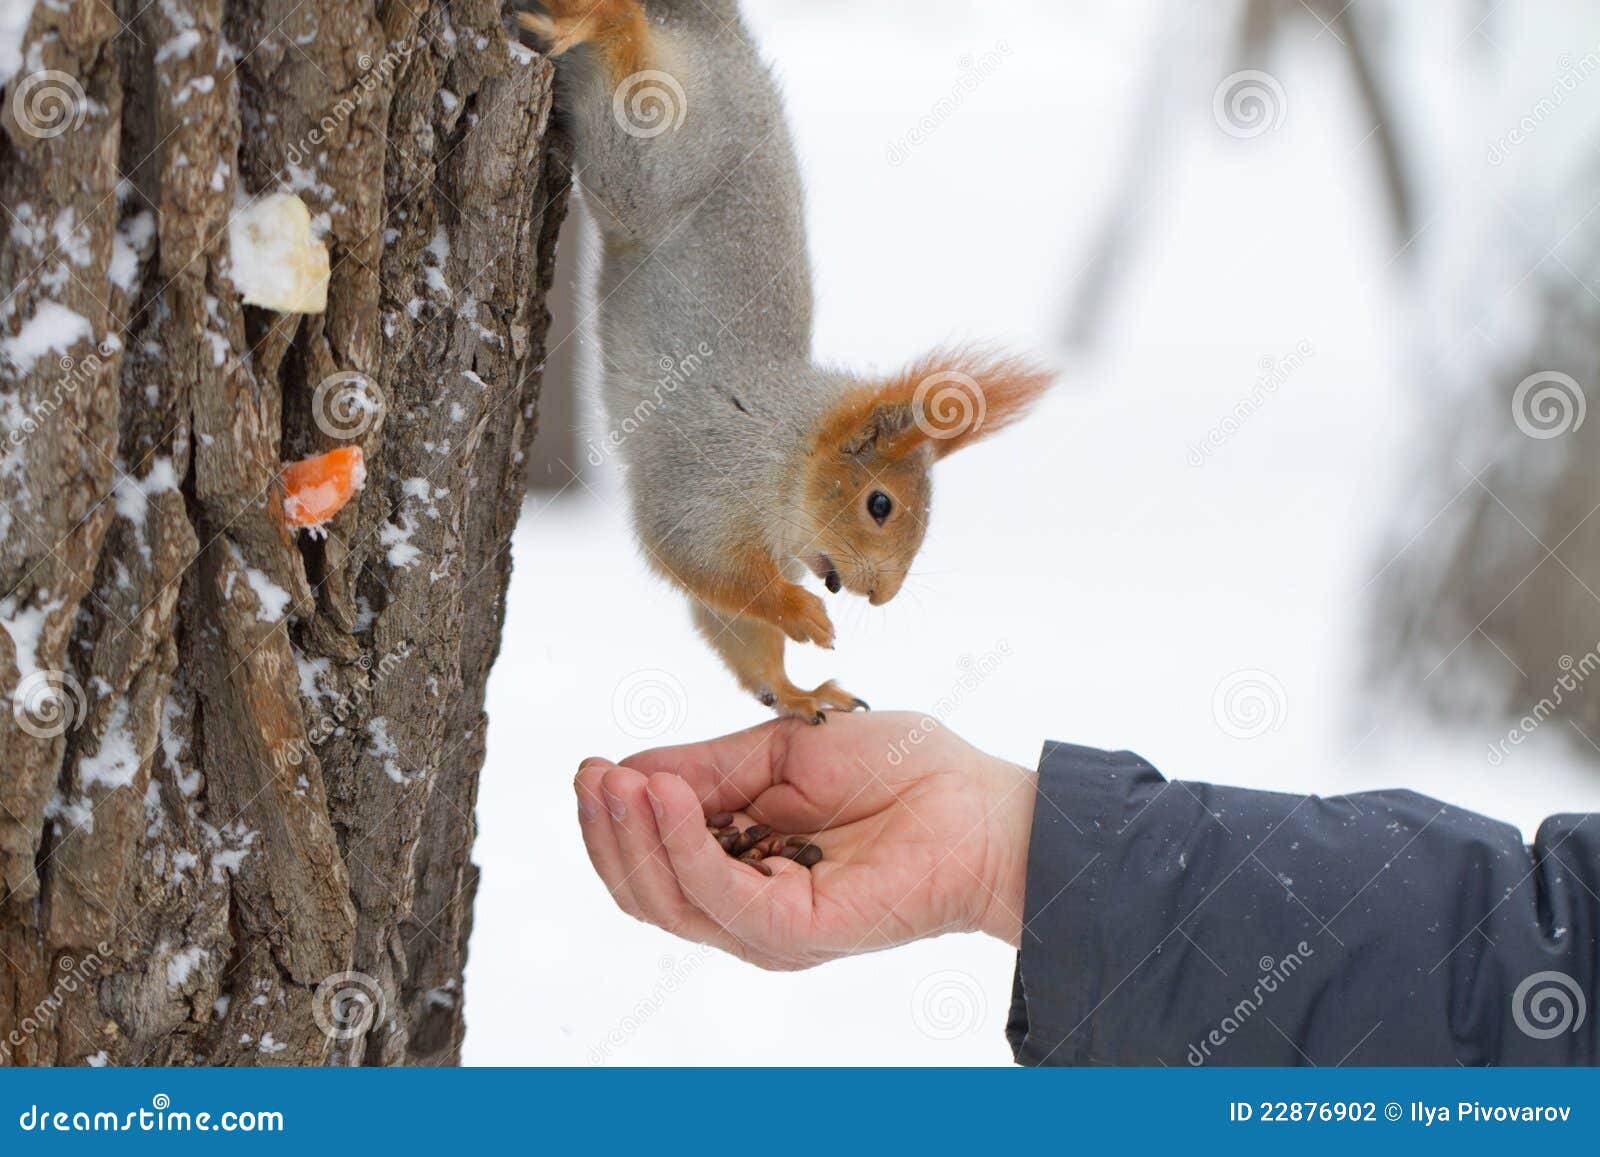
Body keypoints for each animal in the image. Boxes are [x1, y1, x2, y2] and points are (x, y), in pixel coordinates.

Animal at [518, 0, 1053, 723]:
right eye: (879, 505)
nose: (880, 595)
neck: (788, 450)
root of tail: (726, 38)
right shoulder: (708, 476)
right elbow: (702, 563)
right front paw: (800, 611)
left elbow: (737, 629)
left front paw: (798, 694)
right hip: (656, 155)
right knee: (632, 91)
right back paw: (601, 17)